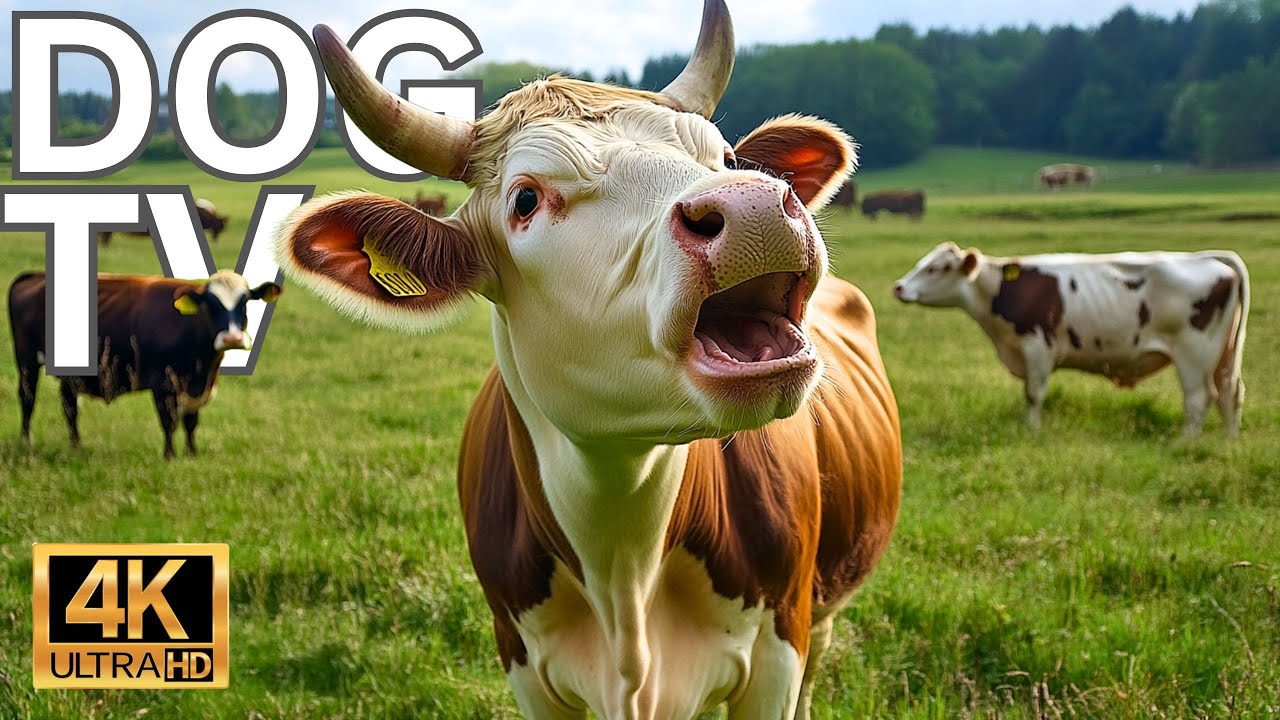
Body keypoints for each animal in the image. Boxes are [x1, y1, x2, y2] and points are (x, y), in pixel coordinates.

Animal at [8, 271, 282, 458]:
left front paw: (191, 454)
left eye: (245, 302)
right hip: (27, 363)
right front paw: (169, 456)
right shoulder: (163, 383)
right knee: (27, 398)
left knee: (69, 407)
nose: (232, 338)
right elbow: (169, 422)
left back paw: (76, 446)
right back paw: (26, 441)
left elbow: (191, 422)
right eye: (210, 304)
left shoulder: (196, 387)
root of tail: (34, 276)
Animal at [275, 2, 902, 717]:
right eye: (525, 199)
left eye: (725, 156)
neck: (621, 567)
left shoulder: (779, 650)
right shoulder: (523, 662)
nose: (754, 206)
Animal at [893, 242, 1249, 436]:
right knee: (1230, 393)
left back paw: (1185, 440)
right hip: (1224, 354)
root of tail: (1206, 259)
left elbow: (1034, 394)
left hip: (1194, 354)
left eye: (936, 269)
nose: (898, 287)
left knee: (1200, 397)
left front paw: (1032, 429)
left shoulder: (1038, 347)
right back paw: (1229, 440)